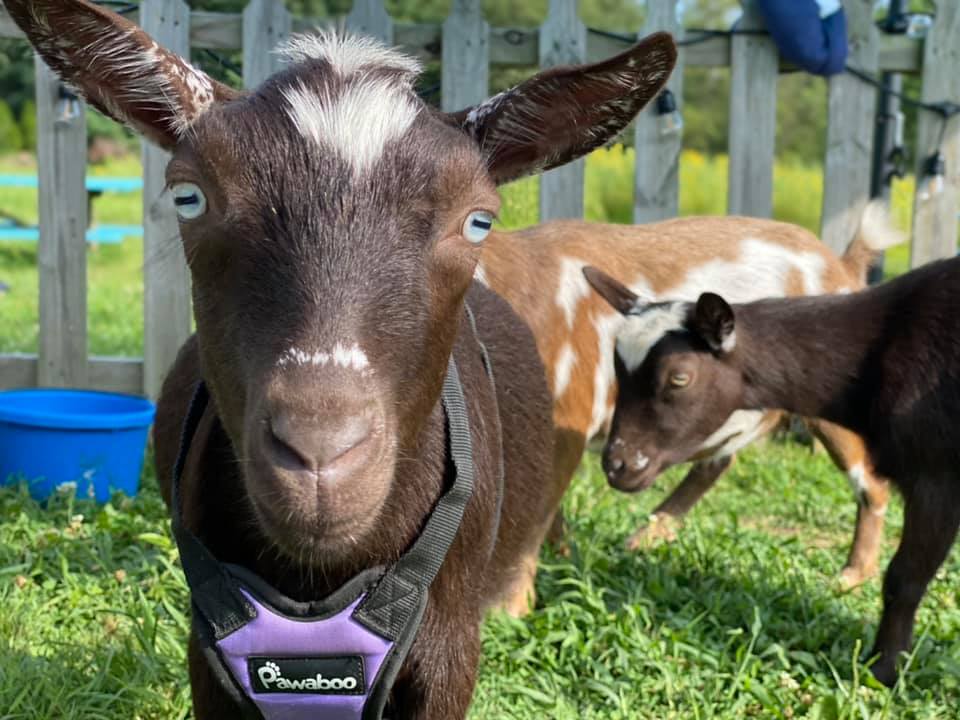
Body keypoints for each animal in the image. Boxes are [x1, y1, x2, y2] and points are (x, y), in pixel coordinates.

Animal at [480, 205, 900, 590]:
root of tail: (841, 266)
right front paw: (564, 561)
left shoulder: (569, 413)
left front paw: (513, 610)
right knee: (720, 459)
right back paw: (638, 543)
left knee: (870, 479)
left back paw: (848, 578)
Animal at [583, 250, 960, 687]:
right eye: (617, 368)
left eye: (679, 378)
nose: (618, 465)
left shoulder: (937, 475)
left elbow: (904, 578)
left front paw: (880, 671)